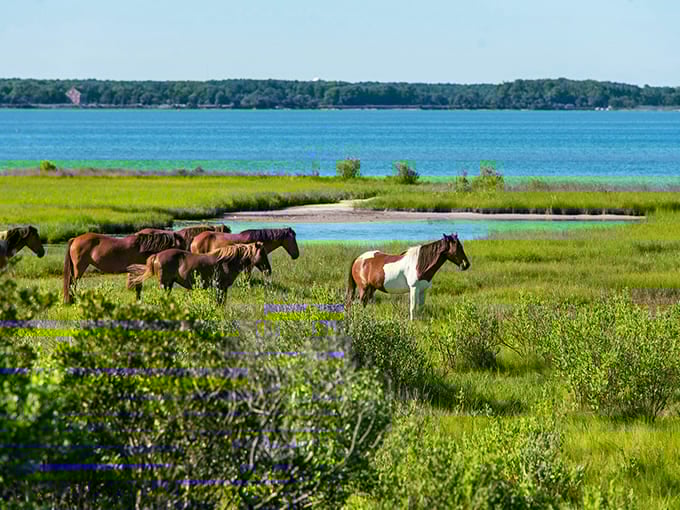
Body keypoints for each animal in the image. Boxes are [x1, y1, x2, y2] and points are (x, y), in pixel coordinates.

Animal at [125, 242, 271, 301]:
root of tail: (156, 256)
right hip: (164, 283)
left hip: (169, 284)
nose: (268, 270)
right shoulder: (220, 287)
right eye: (262, 253)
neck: (226, 262)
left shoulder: (222, 288)